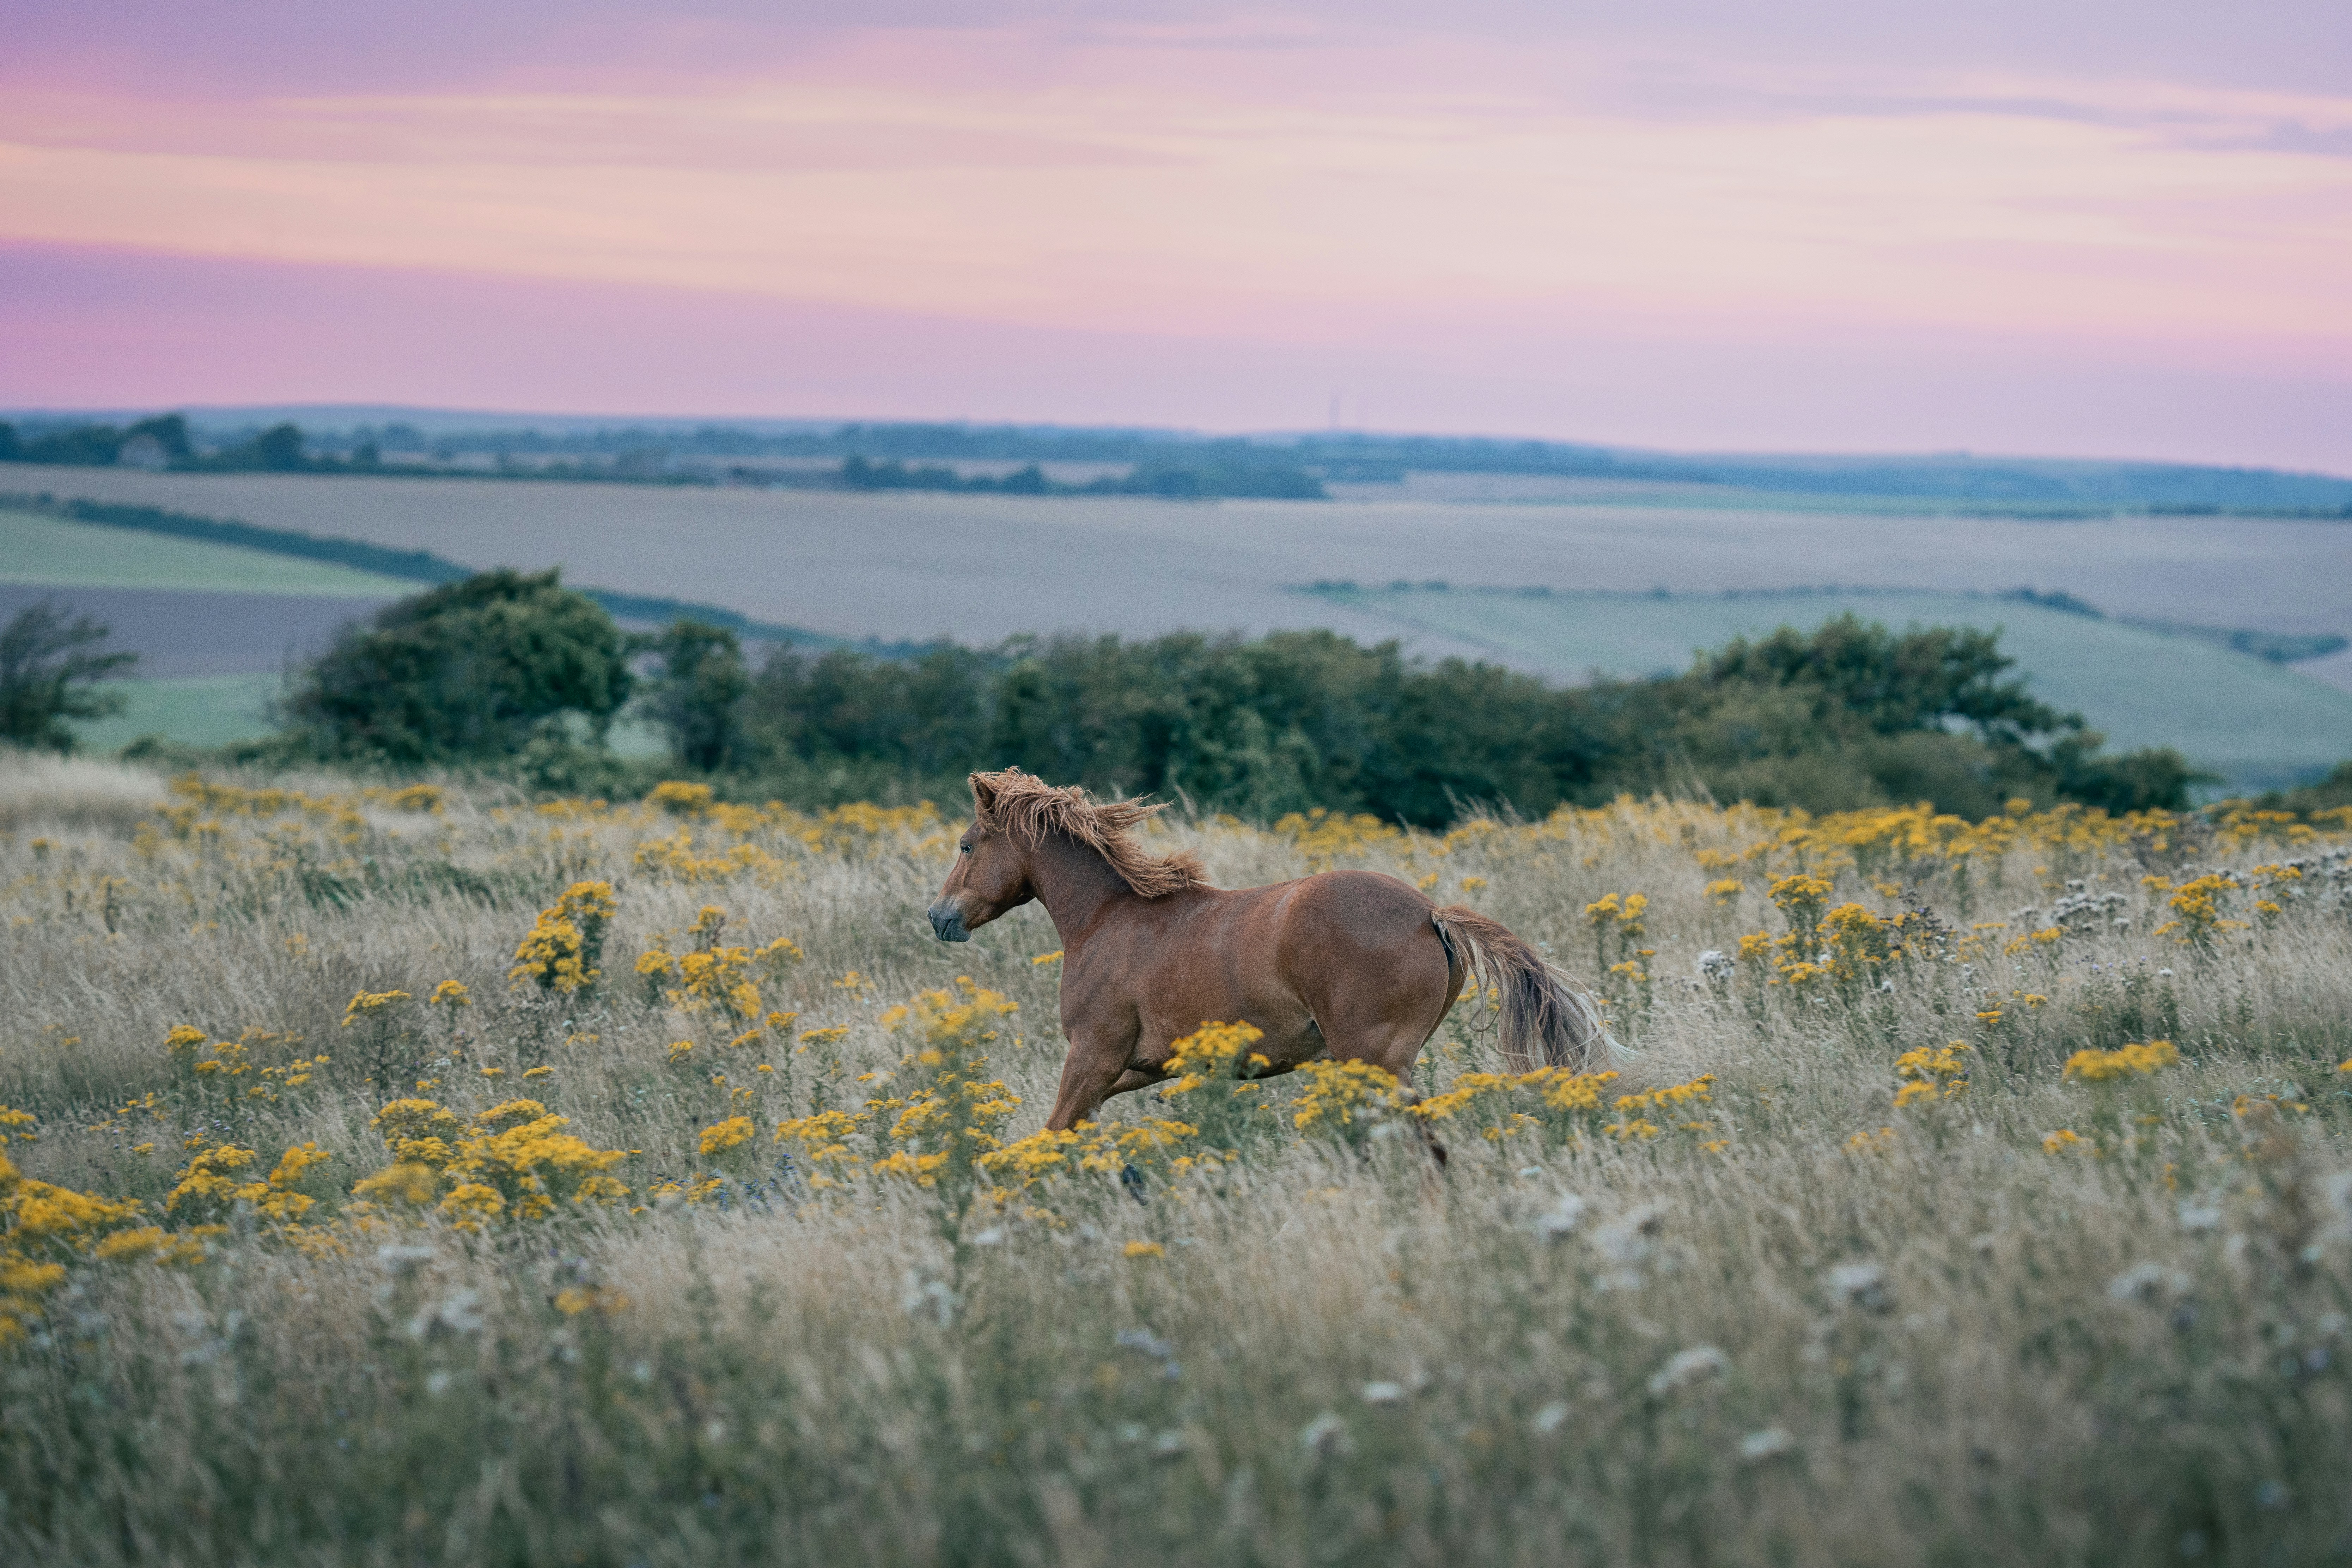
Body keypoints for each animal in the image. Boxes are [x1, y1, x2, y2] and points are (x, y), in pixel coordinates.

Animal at [926, 768, 1614, 1133]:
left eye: (966, 845)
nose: (938, 916)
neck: (1107, 917)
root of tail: (1430, 914)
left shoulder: (1091, 1055)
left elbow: (1054, 1130)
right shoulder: (1139, 1066)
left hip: (1374, 1061)